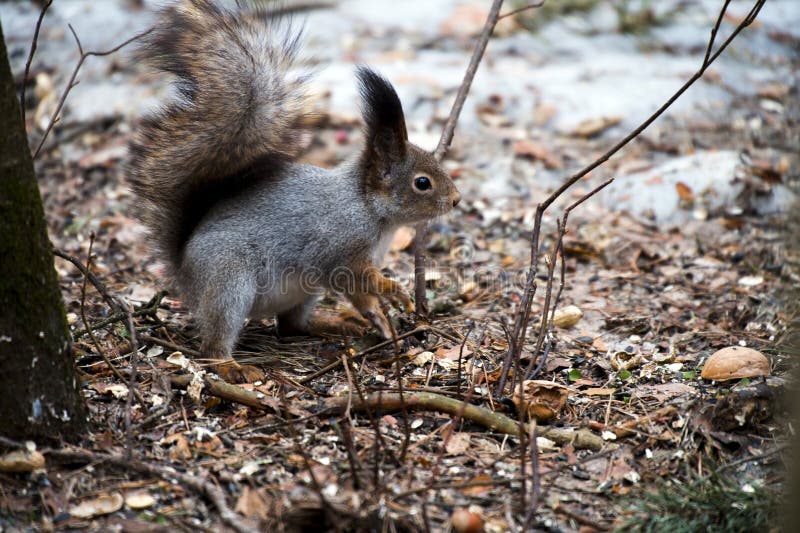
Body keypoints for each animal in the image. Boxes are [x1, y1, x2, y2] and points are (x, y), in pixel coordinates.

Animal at [128, 0, 461, 383]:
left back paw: (333, 323)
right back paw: (231, 367)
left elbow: (362, 296)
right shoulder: (341, 252)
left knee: (290, 326)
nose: (456, 200)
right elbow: (361, 281)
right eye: (422, 182)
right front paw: (396, 294)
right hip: (228, 281)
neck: (367, 208)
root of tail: (183, 269)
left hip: (304, 291)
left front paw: (378, 318)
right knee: (214, 343)